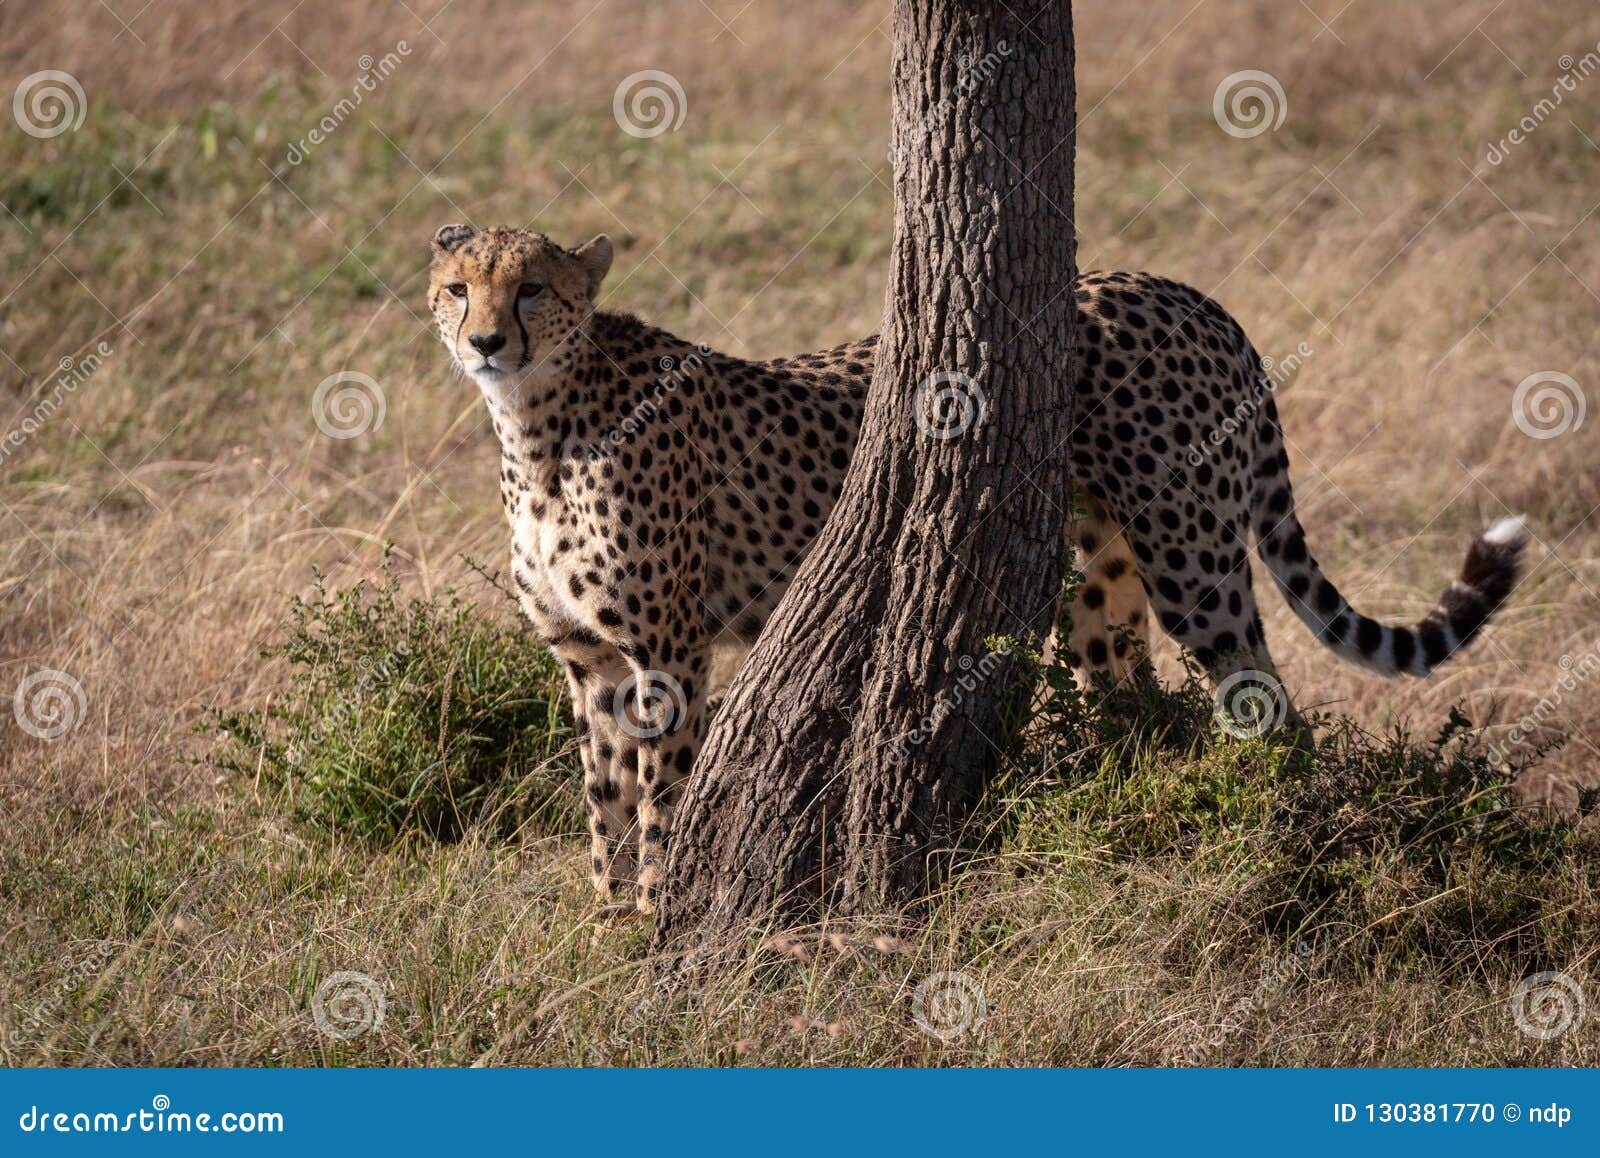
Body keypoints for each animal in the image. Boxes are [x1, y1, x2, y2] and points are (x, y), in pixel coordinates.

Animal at [427, 223, 1529, 913]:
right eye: (457, 288)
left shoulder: (666, 654)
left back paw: (1280, 847)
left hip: (1194, 559)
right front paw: (607, 924)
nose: (484, 340)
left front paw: (656, 923)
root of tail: (1183, 290)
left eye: (533, 288)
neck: (538, 422)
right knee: (1133, 700)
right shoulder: (590, 664)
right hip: (1097, 587)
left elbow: (659, 802)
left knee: (1264, 699)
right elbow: (603, 803)